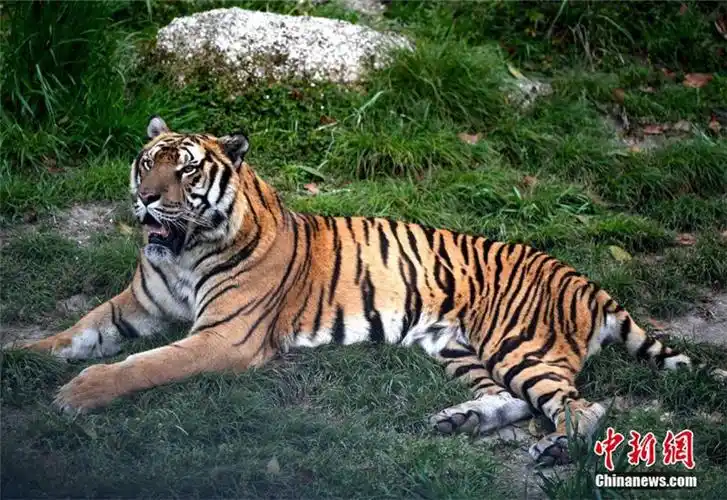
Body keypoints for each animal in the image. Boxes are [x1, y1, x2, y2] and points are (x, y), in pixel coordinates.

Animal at [24, 116, 726, 466]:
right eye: (148, 163)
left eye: (188, 170)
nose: (146, 200)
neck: (184, 251)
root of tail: (582, 277)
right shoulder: (136, 304)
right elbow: (75, 332)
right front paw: (23, 357)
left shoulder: (225, 337)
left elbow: (142, 364)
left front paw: (76, 394)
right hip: (456, 348)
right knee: (512, 400)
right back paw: (458, 421)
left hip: (520, 345)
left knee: (584, 410)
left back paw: (553, 451)